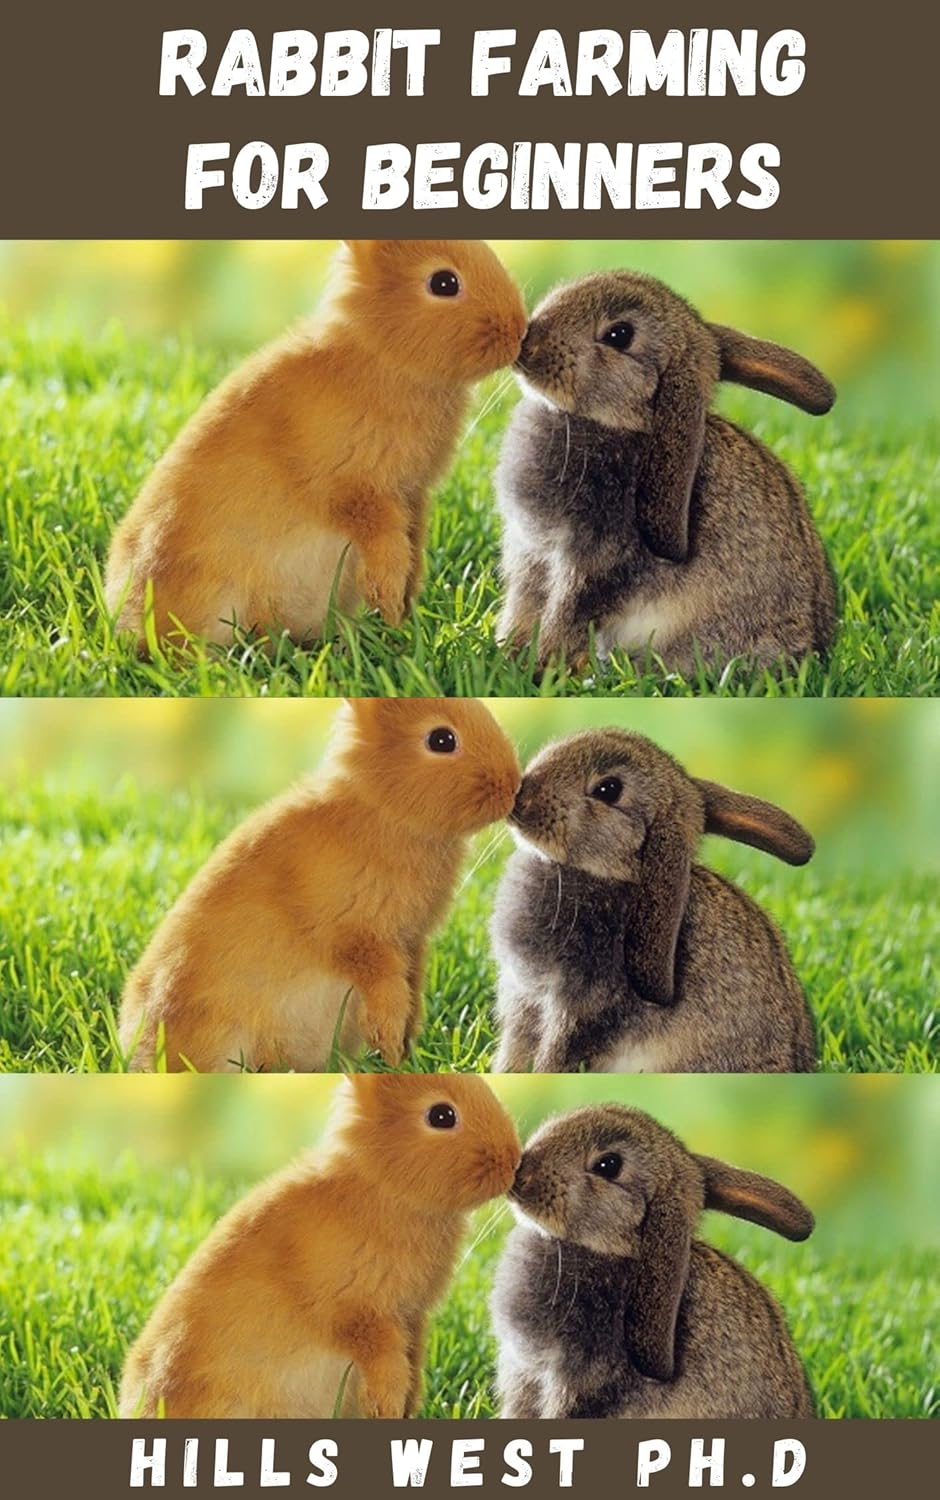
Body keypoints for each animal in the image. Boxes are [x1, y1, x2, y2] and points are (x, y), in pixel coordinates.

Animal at [105, 239, 527, 652]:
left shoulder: (412, 495)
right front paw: (389, 603)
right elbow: (385, 542)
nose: (519, 332)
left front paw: (404, 609)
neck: (381, 355)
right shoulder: (356, 491)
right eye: (444, 283)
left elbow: (413, 543)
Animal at [119, 697, 520, 1072]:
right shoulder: (358, 937)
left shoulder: (411, 941)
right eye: (441, 740)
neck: (382, 809)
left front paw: (404, 1054)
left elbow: (412, 991)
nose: (513, 787)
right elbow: (387, 989)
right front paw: (390, 1048)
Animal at [119, 1074, 521, 1418]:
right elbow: (386, 1361)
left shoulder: (411, 1316)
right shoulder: (358, 1313)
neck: (382, 1185)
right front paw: (385, 1407)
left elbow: (412, 1360)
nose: (513, 1162)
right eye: (441, 1115)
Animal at [495, 269, 837, 674]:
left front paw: (541, 666)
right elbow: (523, 607)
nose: (527, 345)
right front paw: (506, 653)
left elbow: (566, 615)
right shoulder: (530, 554)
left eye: (619, 335)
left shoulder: (593, 563)